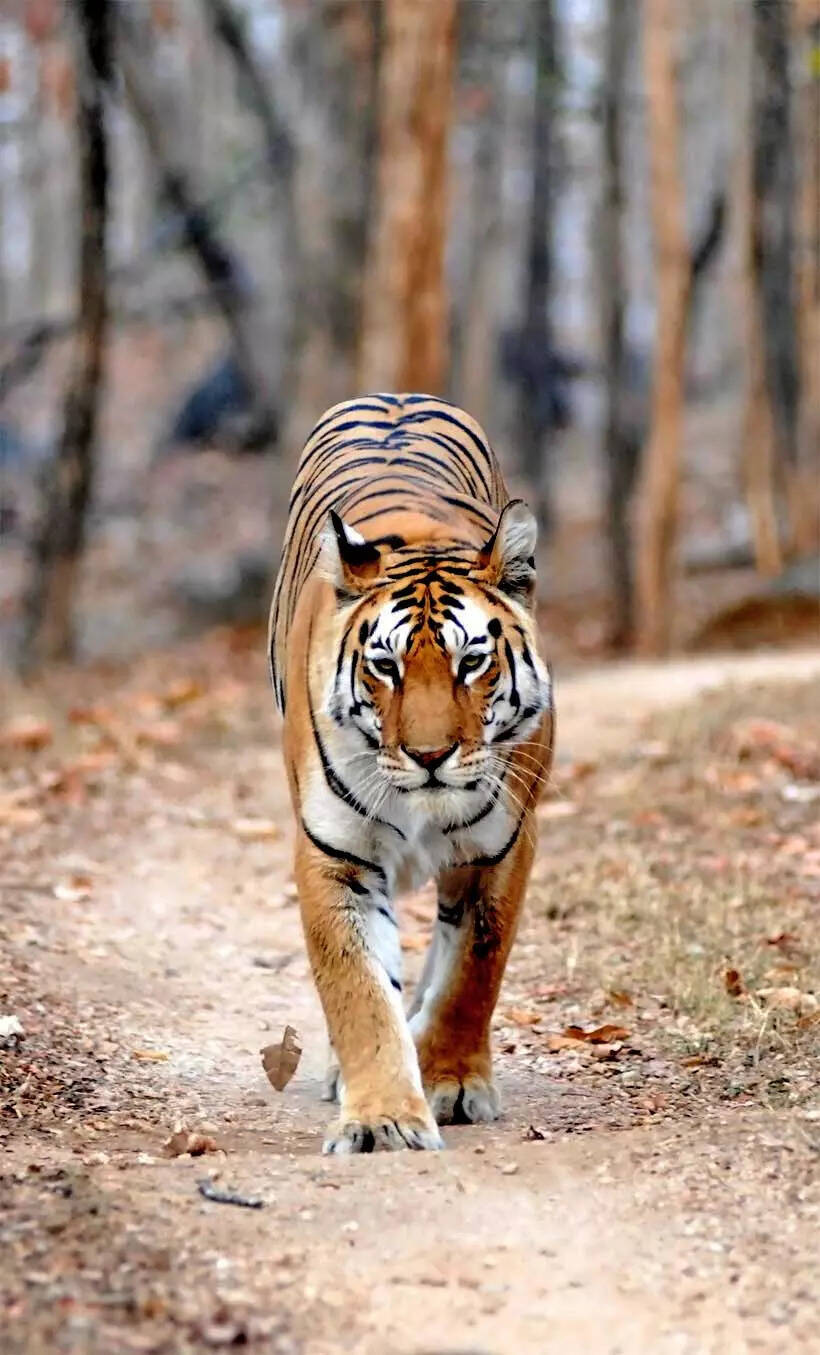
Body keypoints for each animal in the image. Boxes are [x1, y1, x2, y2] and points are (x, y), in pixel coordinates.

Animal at [268, 393, 554, 1153]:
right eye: (386, 665)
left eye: (471, 661)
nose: (429, 756)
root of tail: (395, 396)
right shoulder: (335, 853)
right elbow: (359, 990)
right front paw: (382, 1117)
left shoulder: (501, 848)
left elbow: (473, 971)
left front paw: (450, 1079)